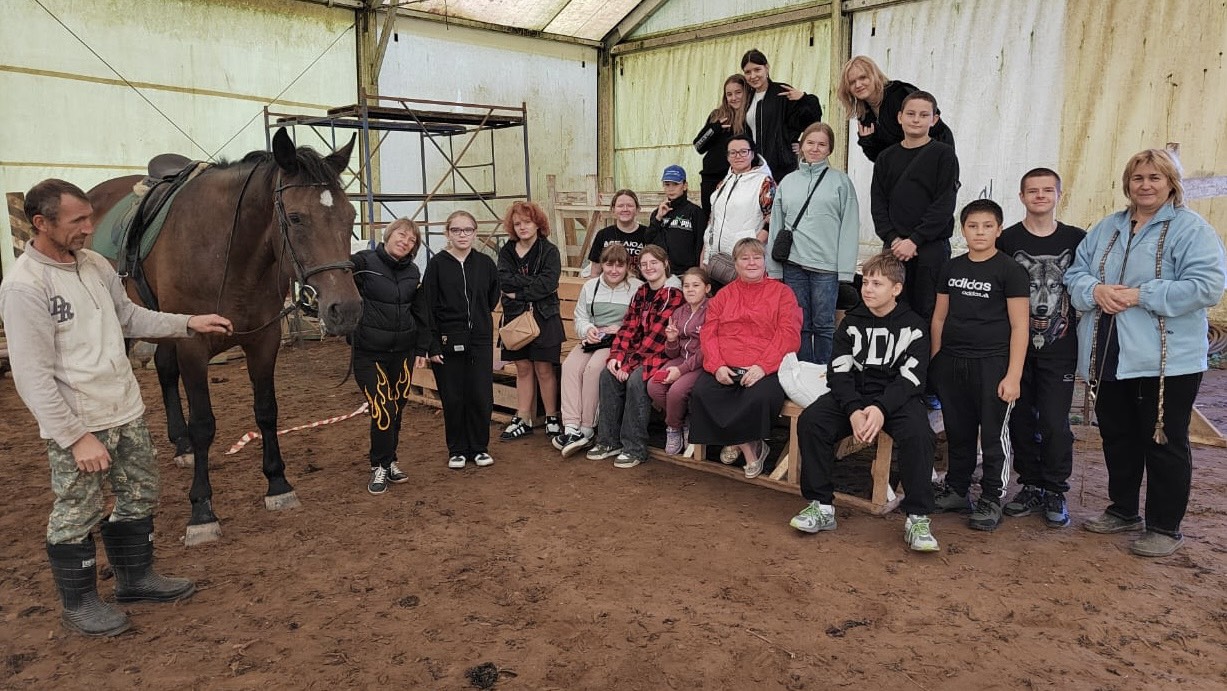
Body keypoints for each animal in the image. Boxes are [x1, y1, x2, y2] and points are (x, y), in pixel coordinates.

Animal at [88, 127, 360, 542]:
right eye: (296, 217)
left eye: (350, 216)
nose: (345, 310)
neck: (227, 254)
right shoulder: (194, 344)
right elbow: (204, 424)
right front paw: (201, 509)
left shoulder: (263, 340)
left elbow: (266, 411)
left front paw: (278, 484)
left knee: (165, 371)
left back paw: (180, 445)